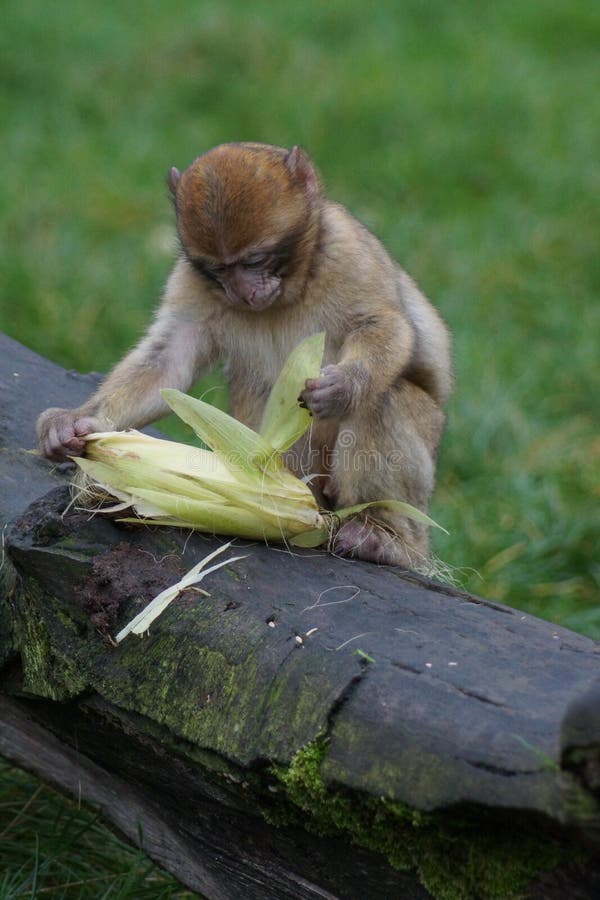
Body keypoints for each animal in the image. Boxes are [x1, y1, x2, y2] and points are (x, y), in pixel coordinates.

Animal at [37, 142, 452, 568]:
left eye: (254, 260)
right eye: (220, 269)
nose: (244, 291)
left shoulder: (348, 252)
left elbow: (385, 325)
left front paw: (344, 388)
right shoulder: (192, 280)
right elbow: (168, 362)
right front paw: (75, 423)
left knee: (385, 398)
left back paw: (385, 535)